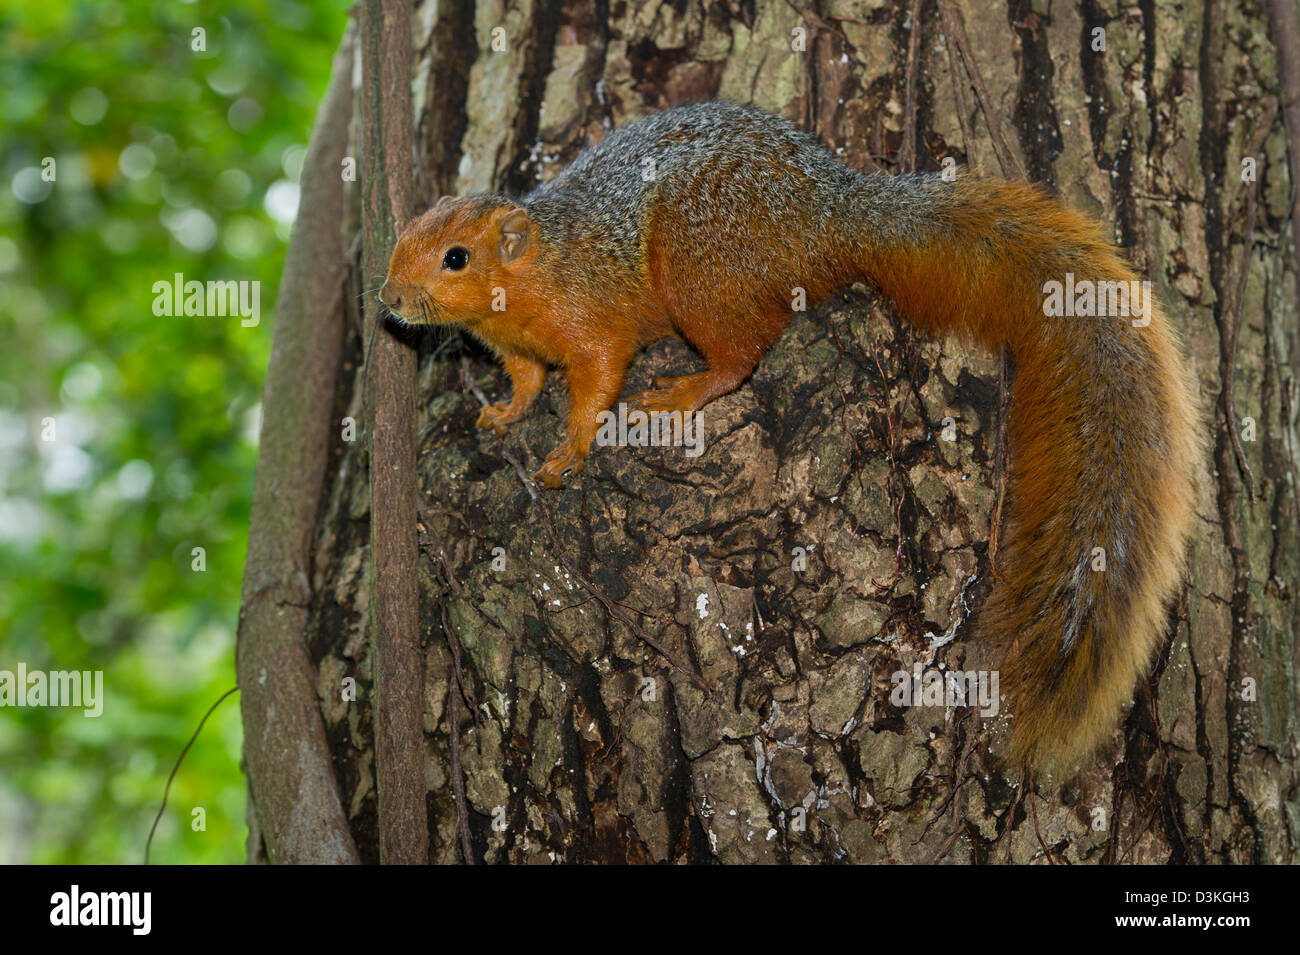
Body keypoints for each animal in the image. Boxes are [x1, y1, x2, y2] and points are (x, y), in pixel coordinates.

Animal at [379, 101, 1198, 769]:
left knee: (743, 353)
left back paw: (686, 387)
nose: (387, 298)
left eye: (456, 257)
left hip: (703, 263)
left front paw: (569, 451)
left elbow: (597, 382)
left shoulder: (592, 319)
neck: (536, 273)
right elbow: (523, 381)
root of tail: (833, 213)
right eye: (402, 238)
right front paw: (503, 414)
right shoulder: (516, 350)